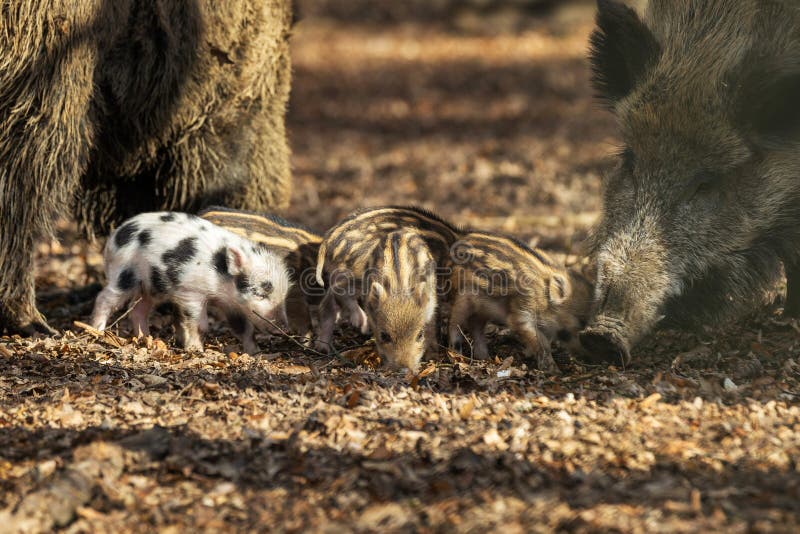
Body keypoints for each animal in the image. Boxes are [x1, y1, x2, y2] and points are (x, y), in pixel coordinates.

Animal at [90, 212, 290, 354]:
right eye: (260, 293)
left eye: (283, 297)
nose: (283, 330)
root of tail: (114, 236)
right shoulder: (191, 292)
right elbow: (199, 324)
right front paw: (196, 349)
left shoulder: (232, 304)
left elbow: (245, 328)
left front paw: (255, 352)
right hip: (124, 274)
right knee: (104, 298)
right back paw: (97, 331)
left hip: (151, 286)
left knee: (138, 309)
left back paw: (145, 338)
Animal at [446, 231, 573, 373]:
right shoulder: (524, 309)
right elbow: (536, 337)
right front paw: (553, 370)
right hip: (462, 301)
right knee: (454, 323)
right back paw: (456, 354)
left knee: (475, 326)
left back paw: (484, 357)